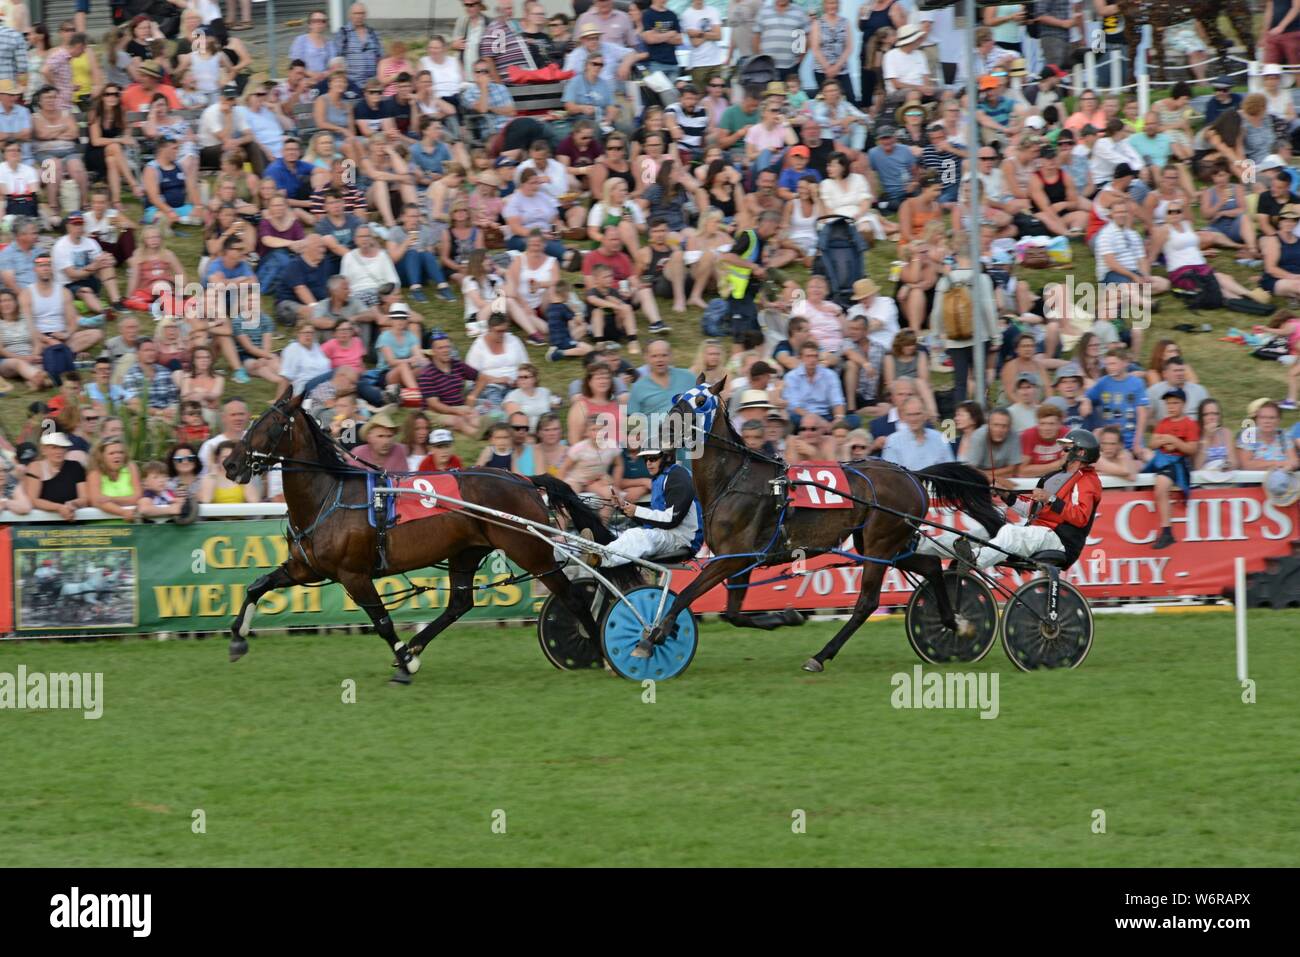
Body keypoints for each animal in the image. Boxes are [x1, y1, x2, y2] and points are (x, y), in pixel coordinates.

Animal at [223, 391, 635, 683]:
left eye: (272, 425)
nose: (230, 463)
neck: (329, 496)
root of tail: (523, 479)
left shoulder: (354, 575)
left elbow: (383, 623)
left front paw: (406, 663)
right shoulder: (306, 568)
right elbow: (257, 586)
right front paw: (238, 637)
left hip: (532, 551)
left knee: (573, 597)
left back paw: (599, 651)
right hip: (467, 552)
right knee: (459, 604)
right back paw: (417, 645)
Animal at [635, 377, 1004, 672]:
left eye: (700, 402)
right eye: (678, 397)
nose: (661, 433)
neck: (733, 479)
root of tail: (912, 474)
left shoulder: (733, 558)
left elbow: (686, 596)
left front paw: (652, 637)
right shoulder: (739, 561)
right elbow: (734, 614)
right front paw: (787, 616)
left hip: (882, 541)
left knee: (867, 602)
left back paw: (821, 655)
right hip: (878, 543)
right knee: (930, 566)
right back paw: (952, 621)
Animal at [1116, 0, 1255, 83]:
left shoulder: (1156, 18)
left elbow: (1159, 52)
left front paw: (1161, 82)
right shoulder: (1131, 22)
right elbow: (1132, 54)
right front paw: (1131, 85)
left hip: (1234, 8)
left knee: (1247, 38)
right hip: (1207, 15)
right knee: (1220, 43)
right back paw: (1224, 76)